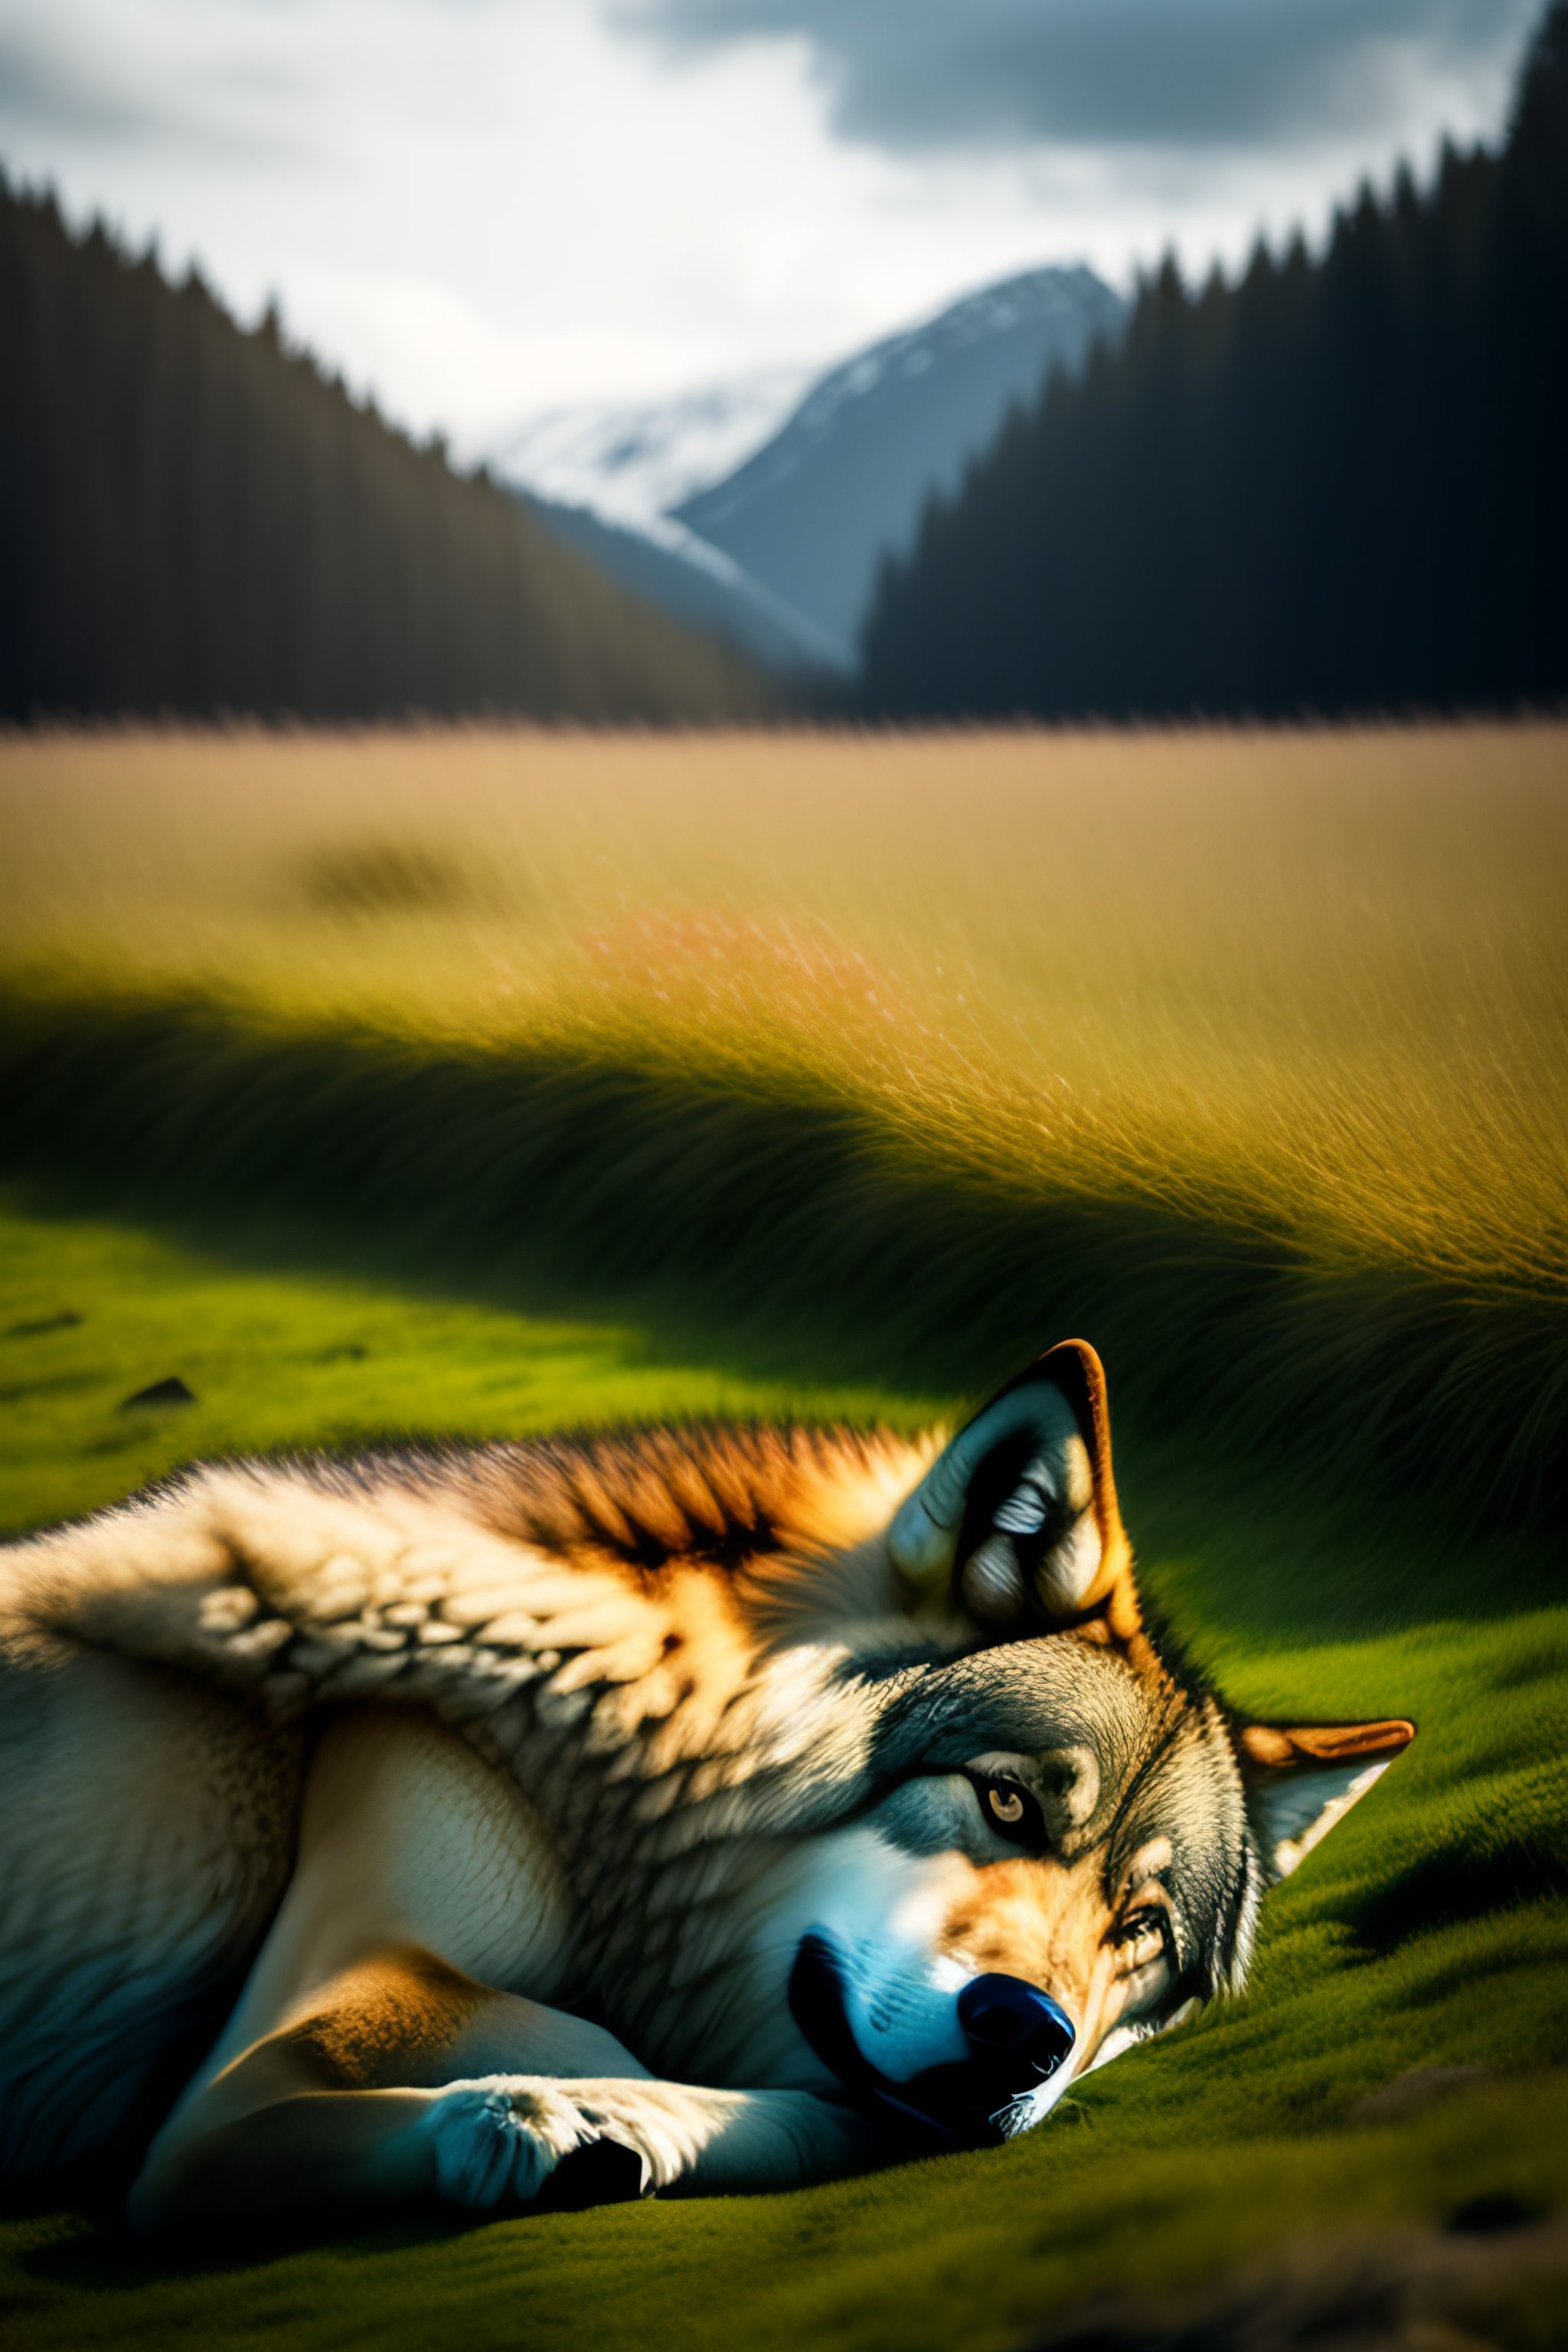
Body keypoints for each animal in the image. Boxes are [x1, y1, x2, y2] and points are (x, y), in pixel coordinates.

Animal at [0, 1341, 1412, 2230]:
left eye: (1142, 1931)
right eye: (1006, 1802)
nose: (1028, 2034)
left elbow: (780, 2104)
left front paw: (605, 2126)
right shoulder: (225, 2108)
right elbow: (574, 2035)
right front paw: (544, 2116)